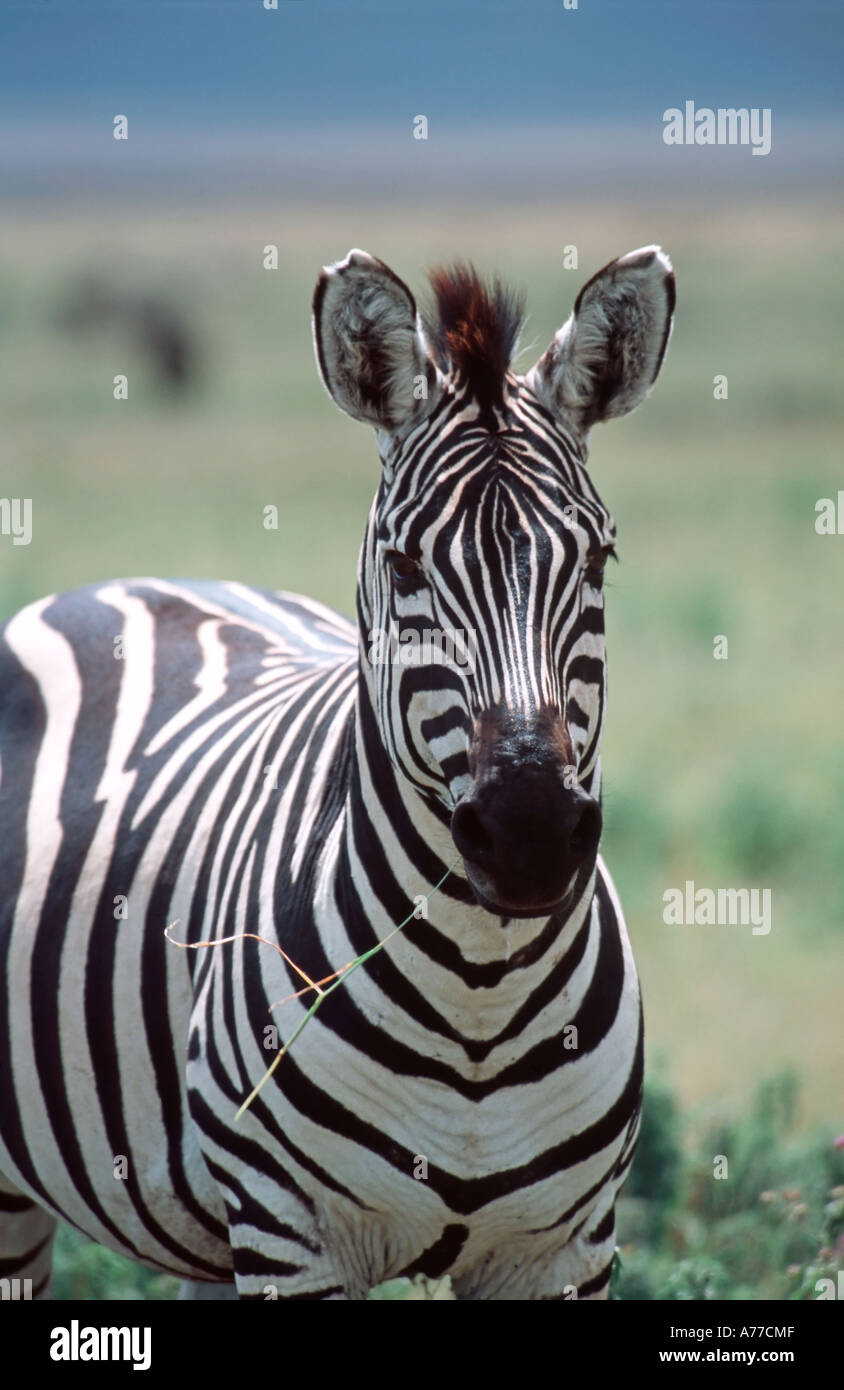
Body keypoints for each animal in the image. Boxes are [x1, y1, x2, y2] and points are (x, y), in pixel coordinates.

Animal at [0, 244, 674, 1301]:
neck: (478, 994)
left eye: (599, 559)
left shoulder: (567, 1250)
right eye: (403, 568)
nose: (528, 834)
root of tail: (132, 583)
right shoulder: (291, 1234)